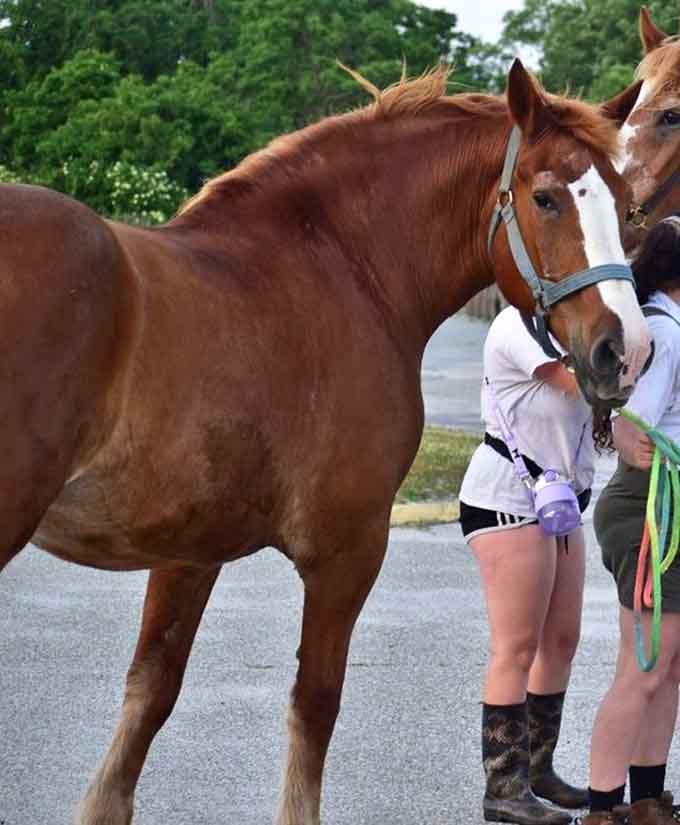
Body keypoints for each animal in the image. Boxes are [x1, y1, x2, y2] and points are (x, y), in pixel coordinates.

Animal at [0, 59, 649, 825]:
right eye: (546, 197)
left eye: (627, 205)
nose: (624, 351)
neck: (339, 272)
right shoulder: (349, 550)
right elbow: (314, 703)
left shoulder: (190, 549)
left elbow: (149, 694)